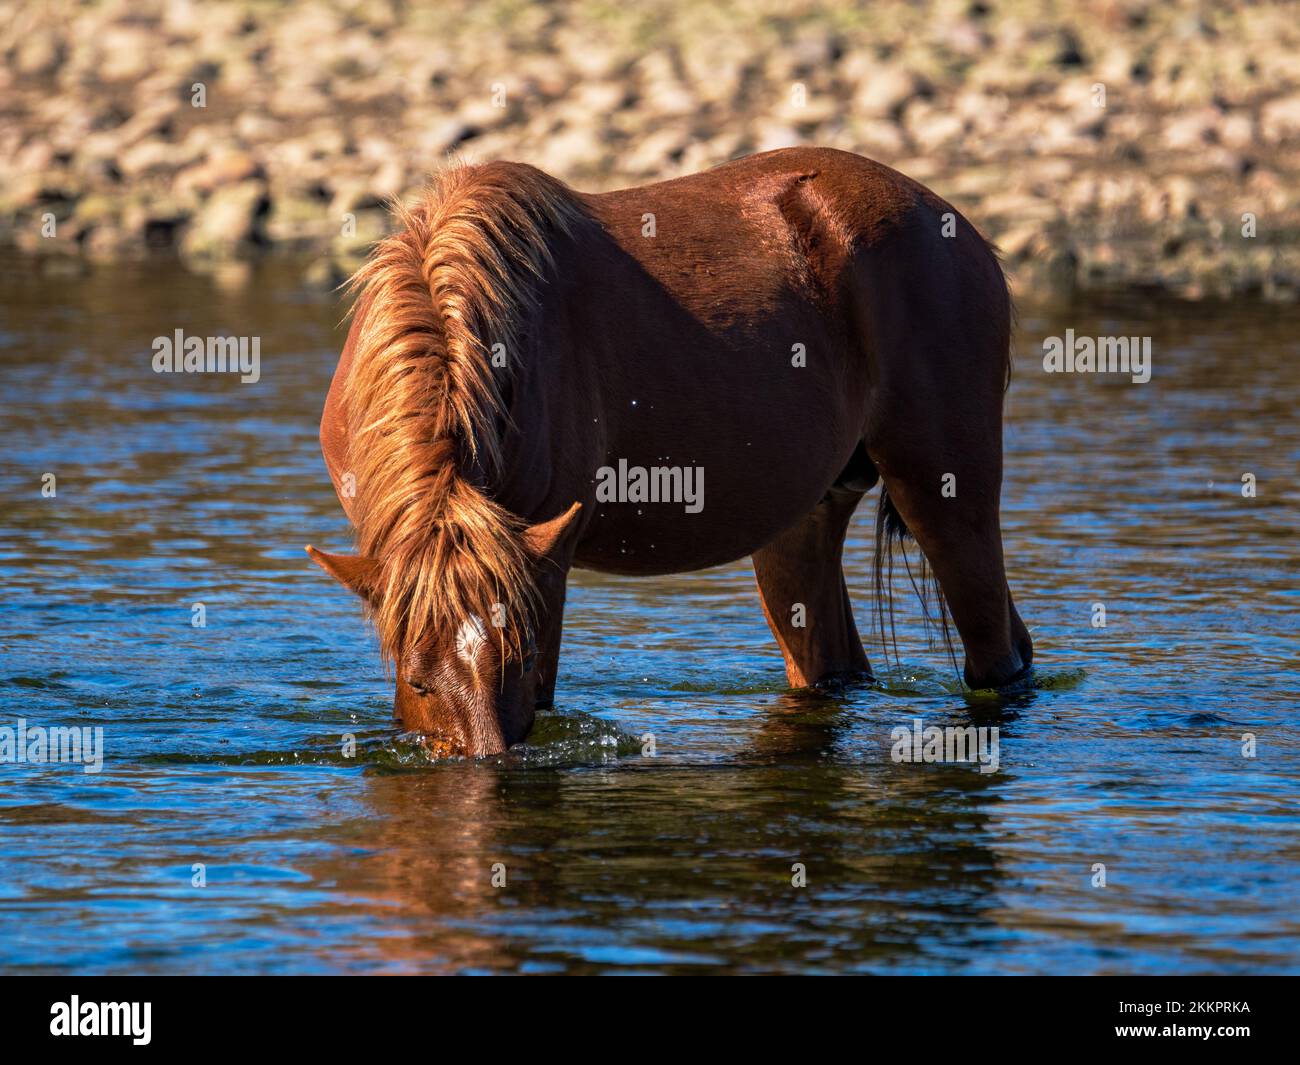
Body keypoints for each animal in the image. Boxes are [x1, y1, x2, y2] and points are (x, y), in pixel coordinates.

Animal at [307, 146, 1033, 757]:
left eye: (517, 661)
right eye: (418, 682)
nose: (489, 759)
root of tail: (961, 232)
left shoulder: (546, 559)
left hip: (944, 492)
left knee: (1000, 652)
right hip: (803, 519)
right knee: (834, 664)